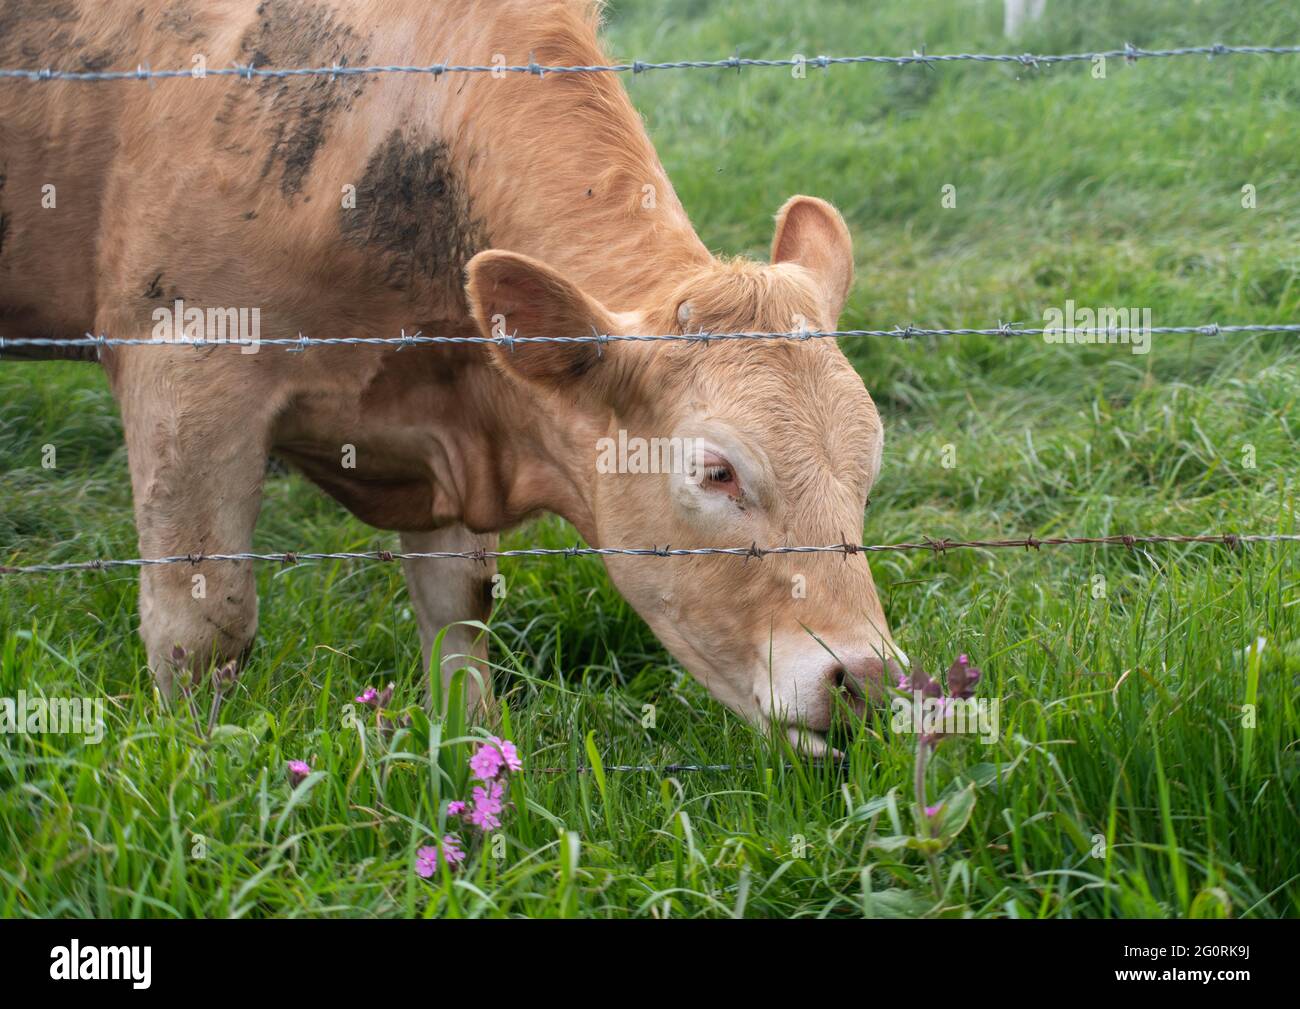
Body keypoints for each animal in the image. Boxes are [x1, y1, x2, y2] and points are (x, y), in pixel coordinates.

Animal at [0, 0, 902, 753]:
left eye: (869, 469)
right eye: (717, 472)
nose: (867, 681)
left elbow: (459, 611)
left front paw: (473, 745)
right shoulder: (186, 364)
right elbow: (201, 624)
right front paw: (196, 761)